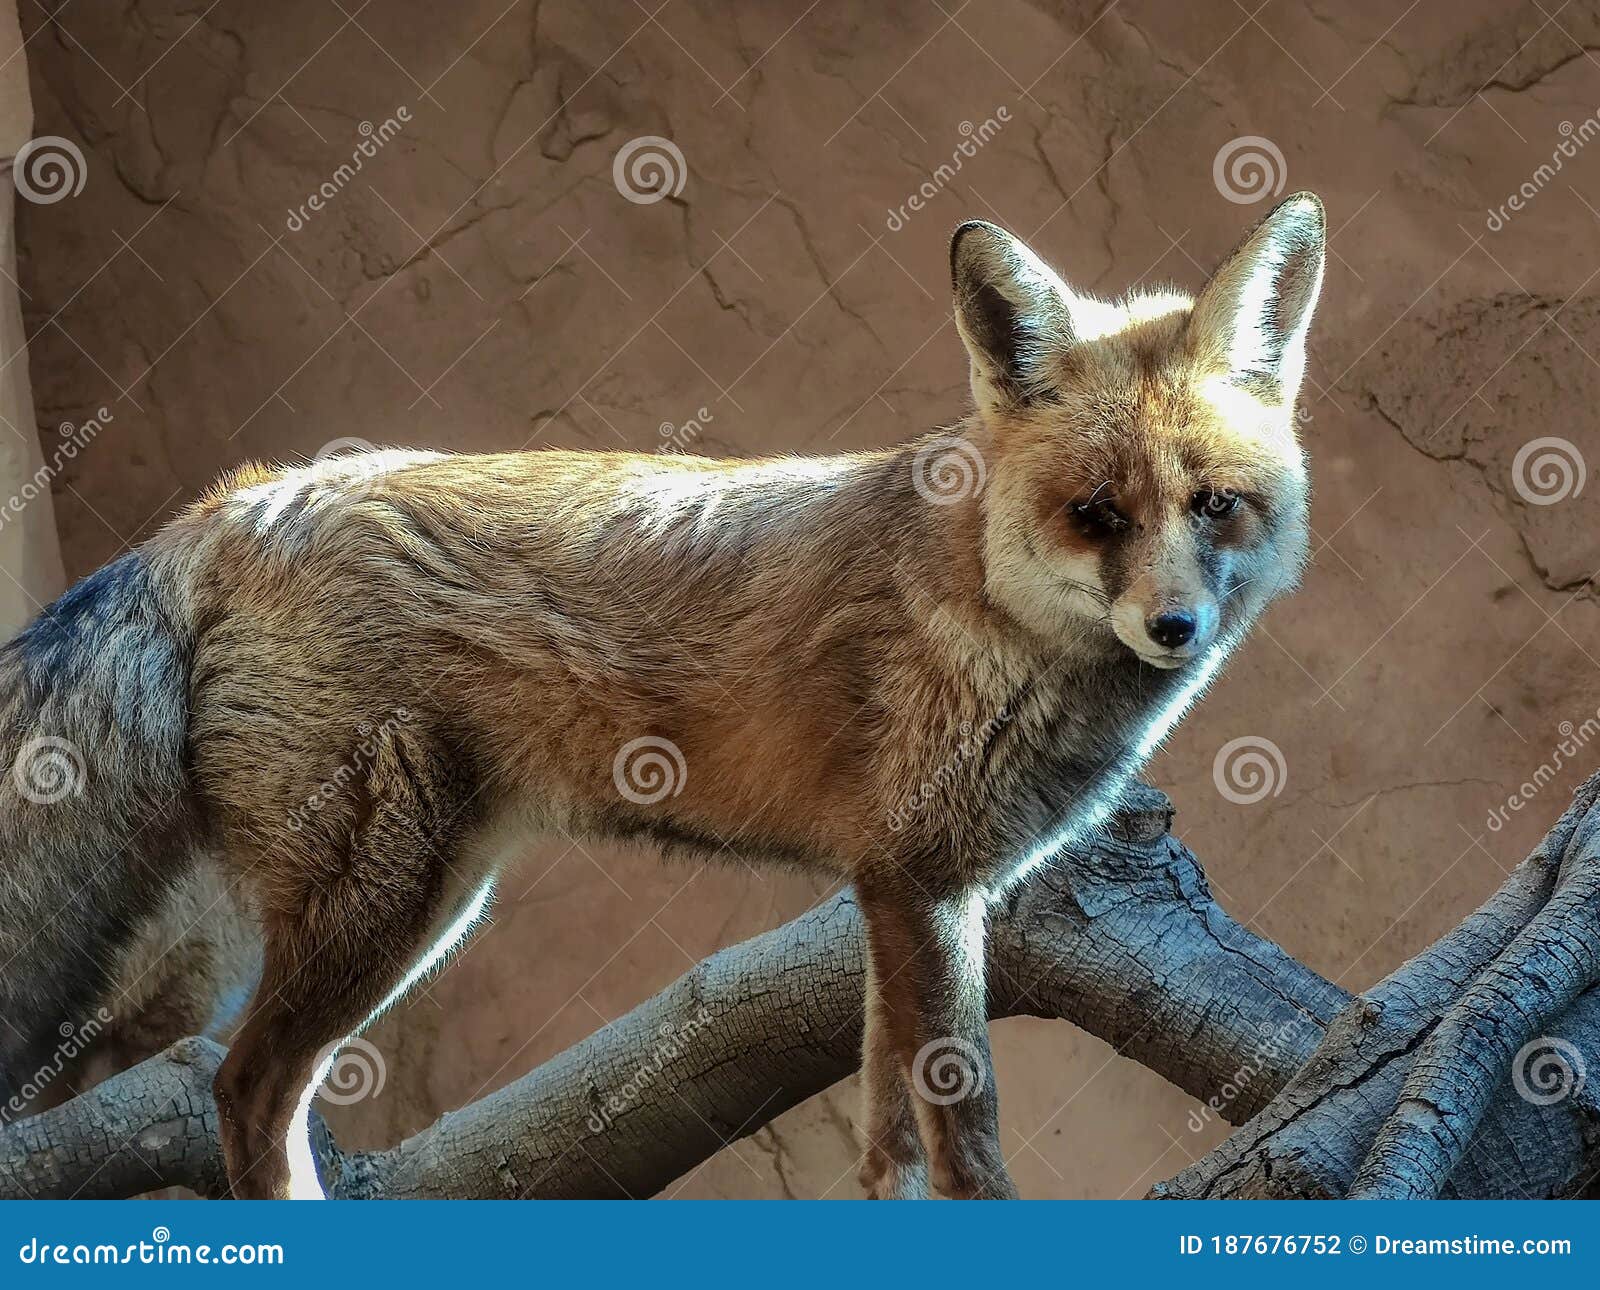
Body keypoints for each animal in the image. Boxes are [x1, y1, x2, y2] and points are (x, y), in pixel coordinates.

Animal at [0, 192, 1323, 1200]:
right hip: (376, 907)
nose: (1175, 629)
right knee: (239, 1088)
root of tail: (236, 502)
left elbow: (887, 1140)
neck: (987, 604)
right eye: (1095, 516)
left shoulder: (893, 894)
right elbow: (967, 1132)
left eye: (1213, 506)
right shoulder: (924, 881)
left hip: (392, 907)